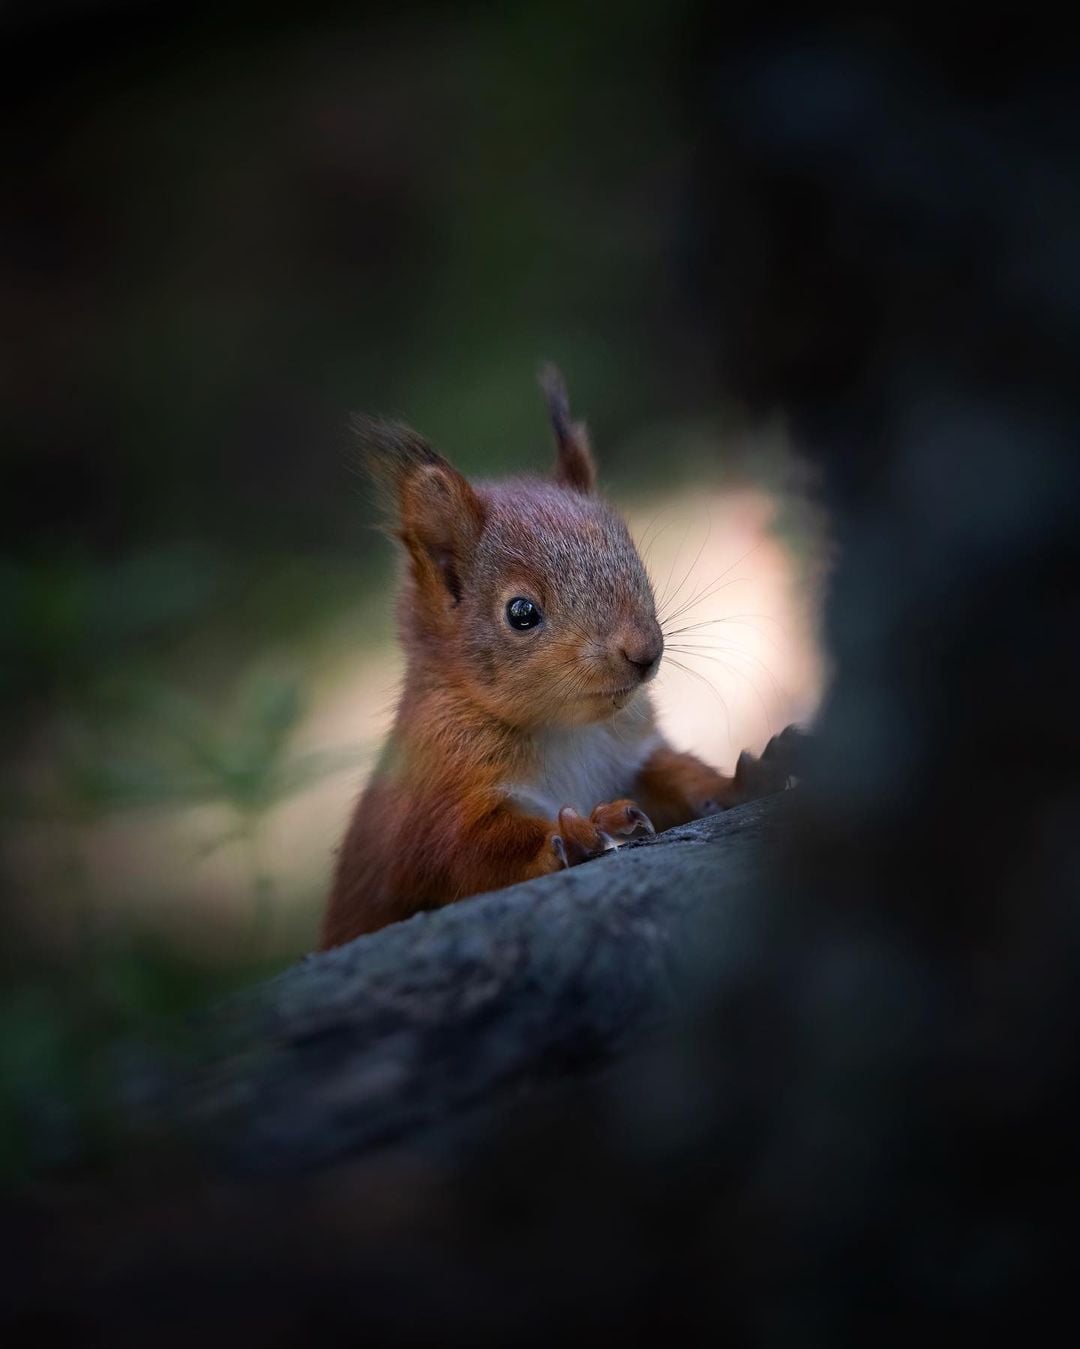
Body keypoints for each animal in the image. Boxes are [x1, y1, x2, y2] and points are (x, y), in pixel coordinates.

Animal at [320, 367, 804, 949]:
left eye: (632, 558)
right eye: (521, 612)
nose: (644, 652)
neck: (568, 730)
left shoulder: (631, 757)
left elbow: (678, 778)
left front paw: (746, 778)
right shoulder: (435, 798)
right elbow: (469, 849)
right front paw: (582, 830)